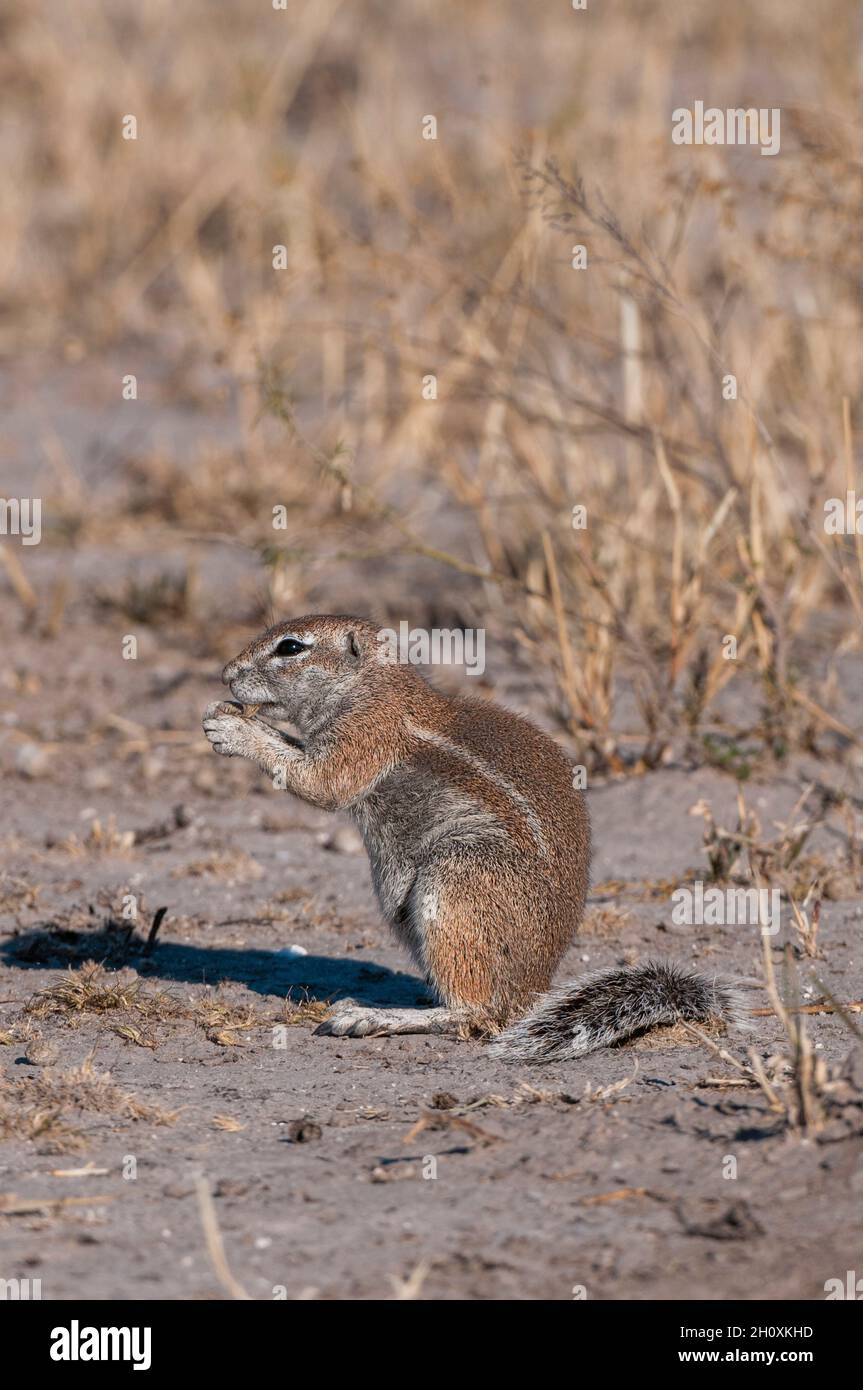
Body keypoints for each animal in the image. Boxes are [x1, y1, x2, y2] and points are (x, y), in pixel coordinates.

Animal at [202, 614, 743, 1060]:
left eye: (291, 647)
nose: (227, 673)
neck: (371, 684)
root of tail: (531, 993)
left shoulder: (365, 736)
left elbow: (322, 783)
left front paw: (231, 729)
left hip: (456, 883)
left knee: (475, 1014)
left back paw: (375, 1015)